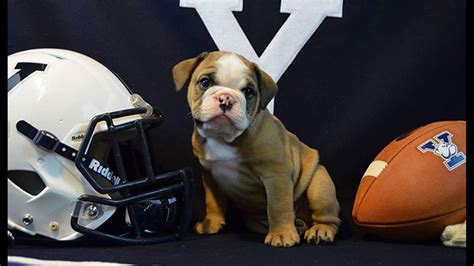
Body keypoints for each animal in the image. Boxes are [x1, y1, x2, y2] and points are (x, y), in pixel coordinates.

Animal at [172, 51, 342, 246]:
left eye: (248, 91)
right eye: (205, 82)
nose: (226, 98)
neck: (223, 137)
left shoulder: (276, 174)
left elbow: (278, 206)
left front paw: (282, 234)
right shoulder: (209, 175)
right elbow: (213, 201)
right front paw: (211, 223)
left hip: (320, 185)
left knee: (329, 217)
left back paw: (320, 230)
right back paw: (298, 227)